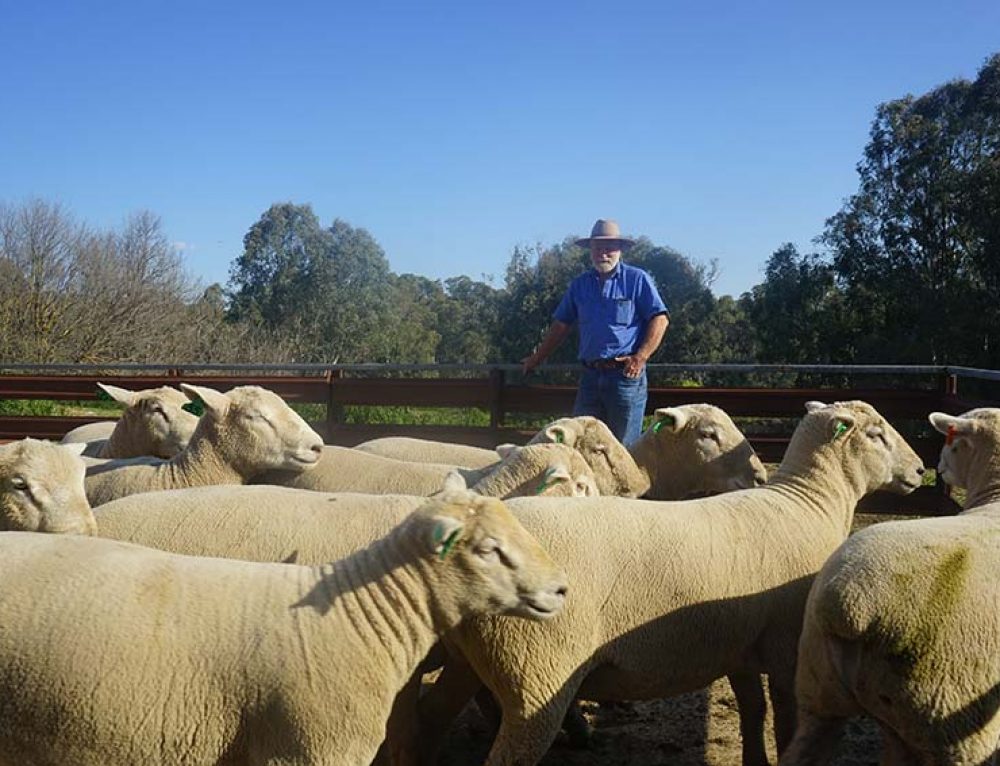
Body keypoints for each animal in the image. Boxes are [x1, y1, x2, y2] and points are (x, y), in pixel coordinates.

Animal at [408, 401, 924, 766]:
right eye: (877, 434)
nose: (921, 469)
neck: (807, 501)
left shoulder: (739, 644)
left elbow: (752, 712)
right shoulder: (785, 649)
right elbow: (786, 725)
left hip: (473, 660)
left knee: (427, 720)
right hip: (537, 673)